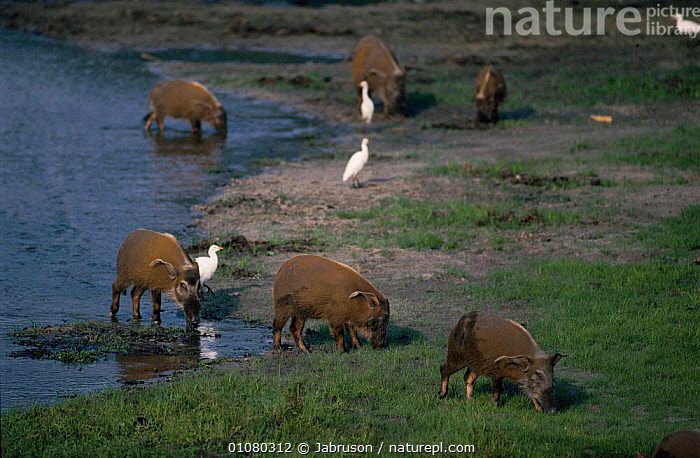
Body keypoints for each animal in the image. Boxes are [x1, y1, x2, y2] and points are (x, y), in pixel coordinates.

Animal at [439, 311, 567, 414]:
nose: (553, 411)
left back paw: (470, 399)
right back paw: (441, 395)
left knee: (468, 377)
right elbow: (497, 389)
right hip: (456, 356)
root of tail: (461, 320)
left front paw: (539, 410)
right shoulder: (496, 371)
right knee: (443, 368)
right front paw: (495, 405)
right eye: (536, 379)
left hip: (476, 364)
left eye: (552, 379)